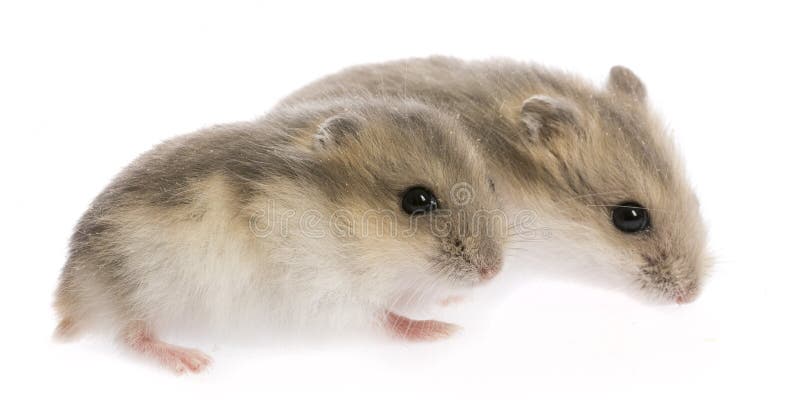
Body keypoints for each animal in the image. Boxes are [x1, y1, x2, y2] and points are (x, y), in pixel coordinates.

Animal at [54, 97, 506, 373]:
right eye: (417, 200)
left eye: (490, 182)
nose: (493, 273)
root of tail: (70, 299)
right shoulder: (320, 290)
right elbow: (384, 316)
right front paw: (443, 330)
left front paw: (452, 302)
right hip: (146, 285)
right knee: (131, 334)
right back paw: (193, 362)